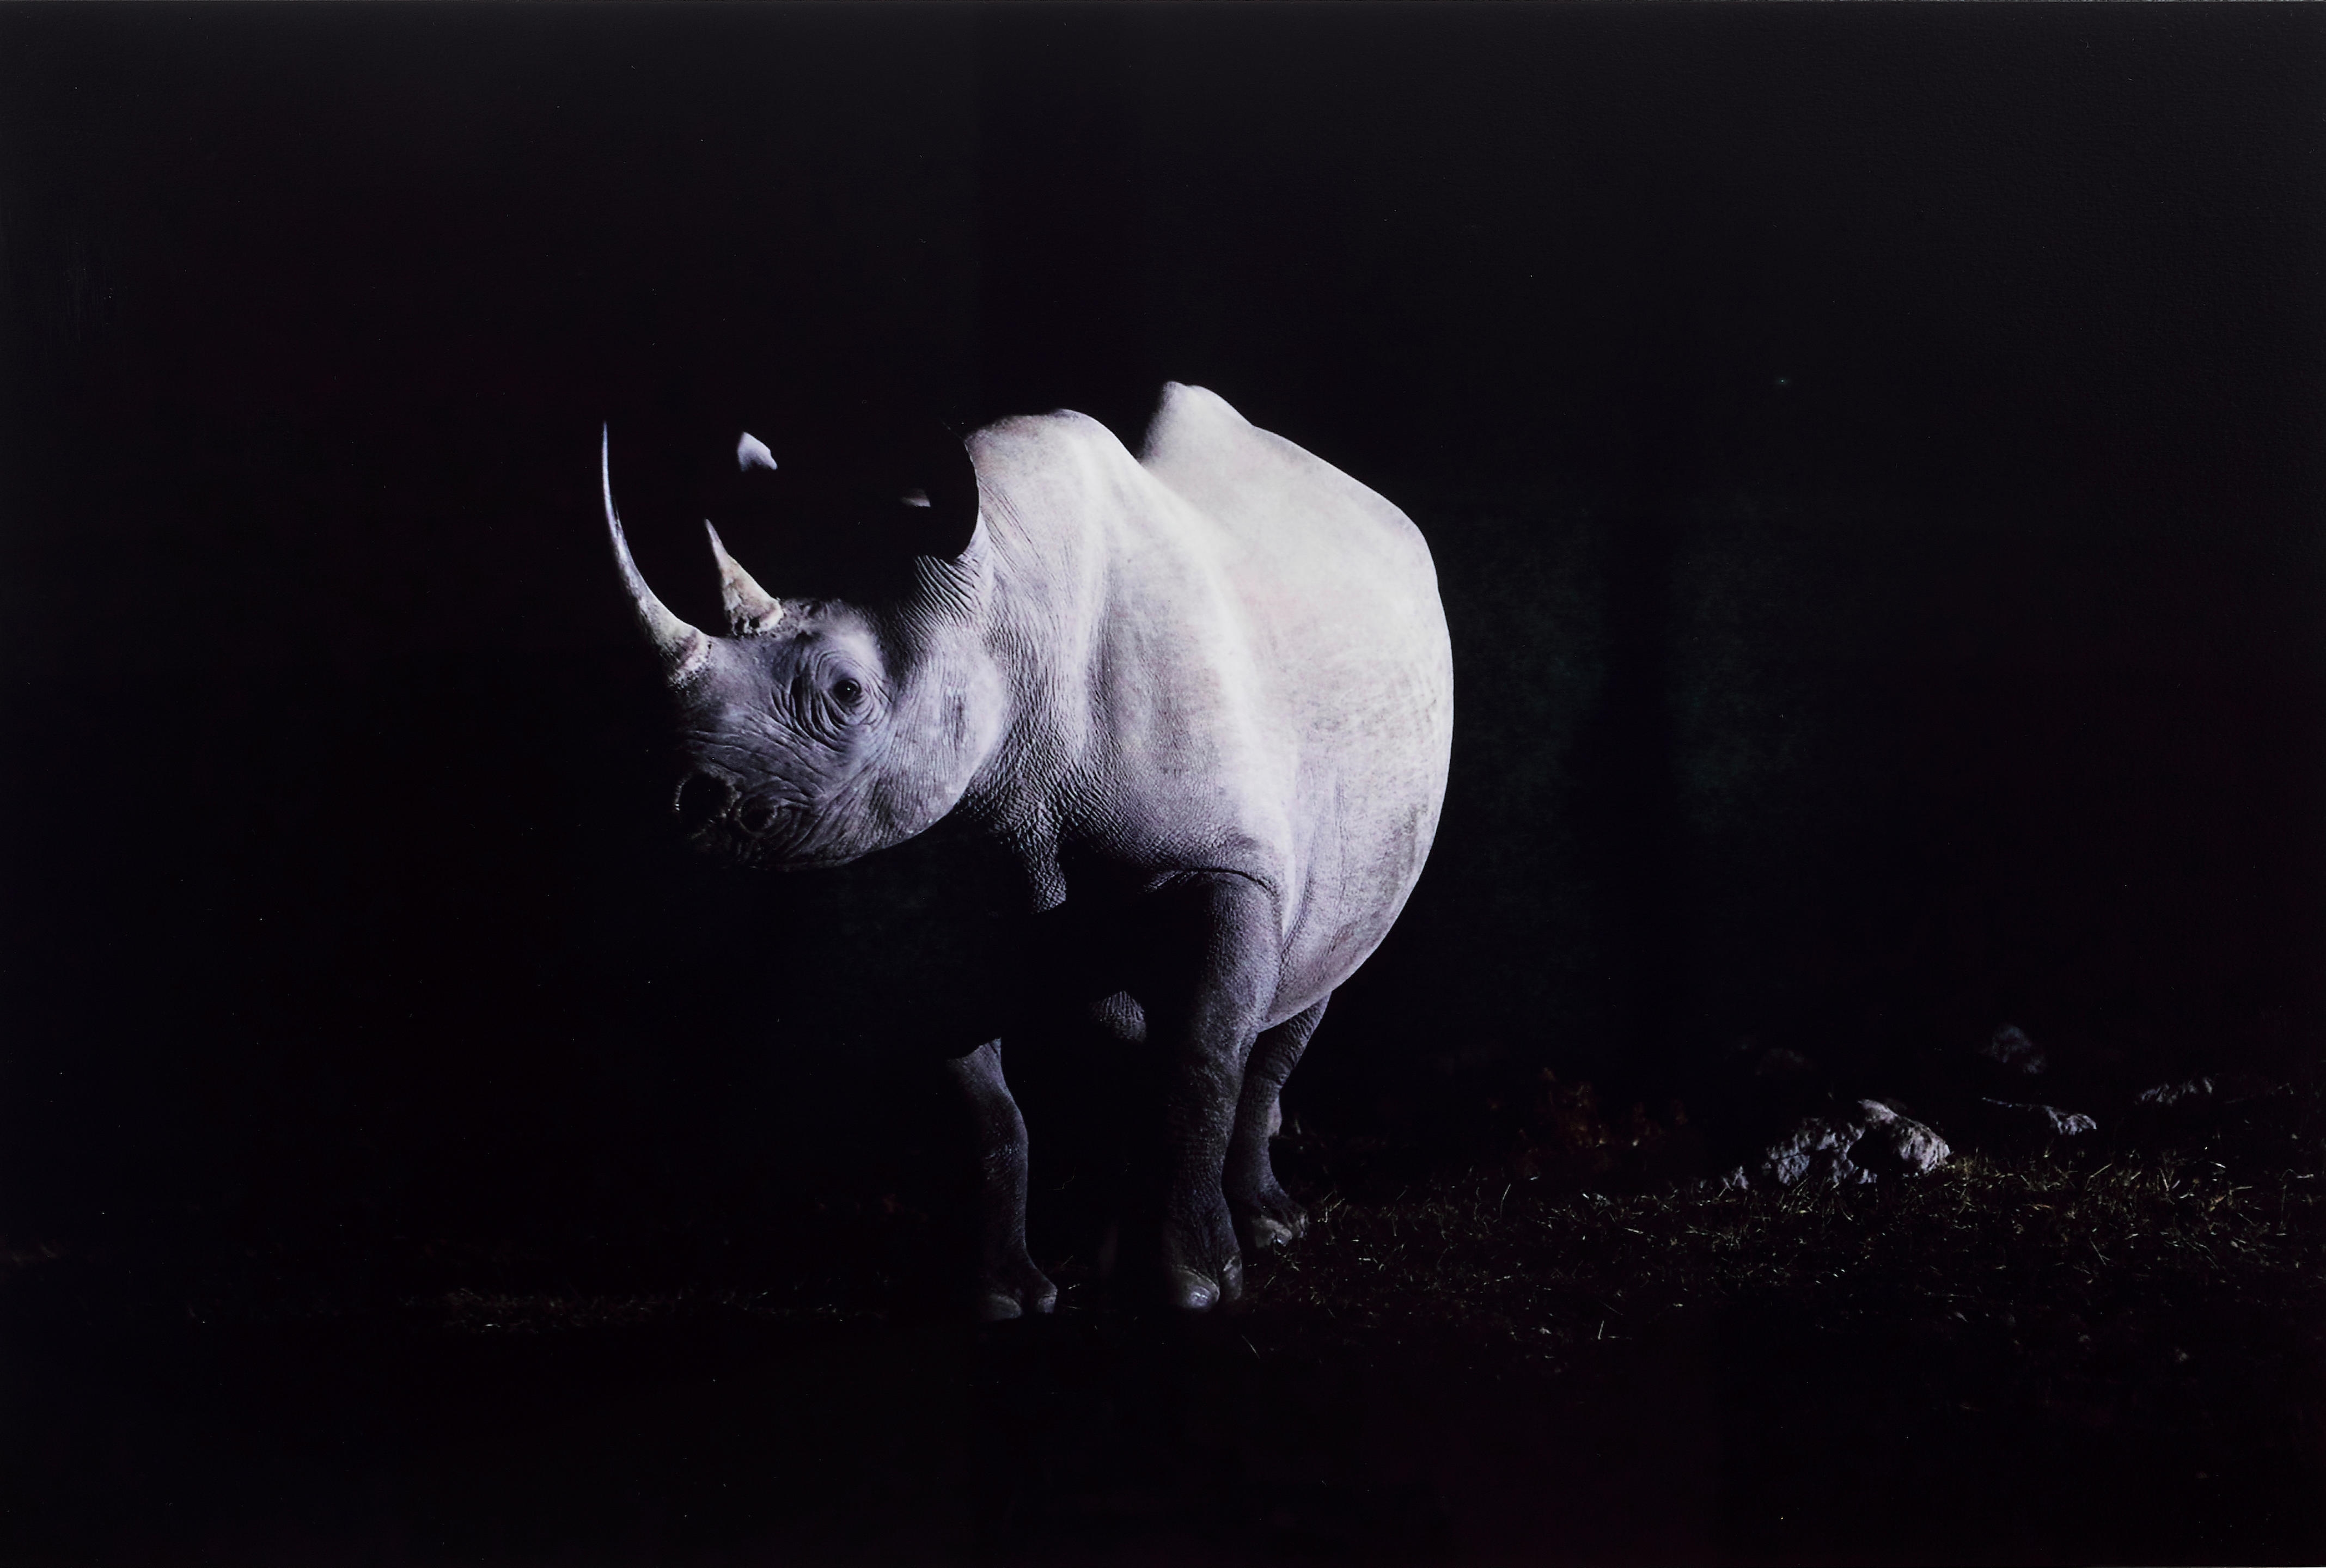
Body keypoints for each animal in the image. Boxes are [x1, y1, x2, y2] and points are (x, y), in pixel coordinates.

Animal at [602, 383, 1452, 1315]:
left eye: (846, 693)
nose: (686, 802)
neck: (1002, 603)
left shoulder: (1228, 861)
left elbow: (1200, 1061)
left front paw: (1190, 1291)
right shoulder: (934, 885)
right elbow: (983, 1110)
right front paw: (1002, 1299)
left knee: (1308, 983)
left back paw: (1267, 1229)